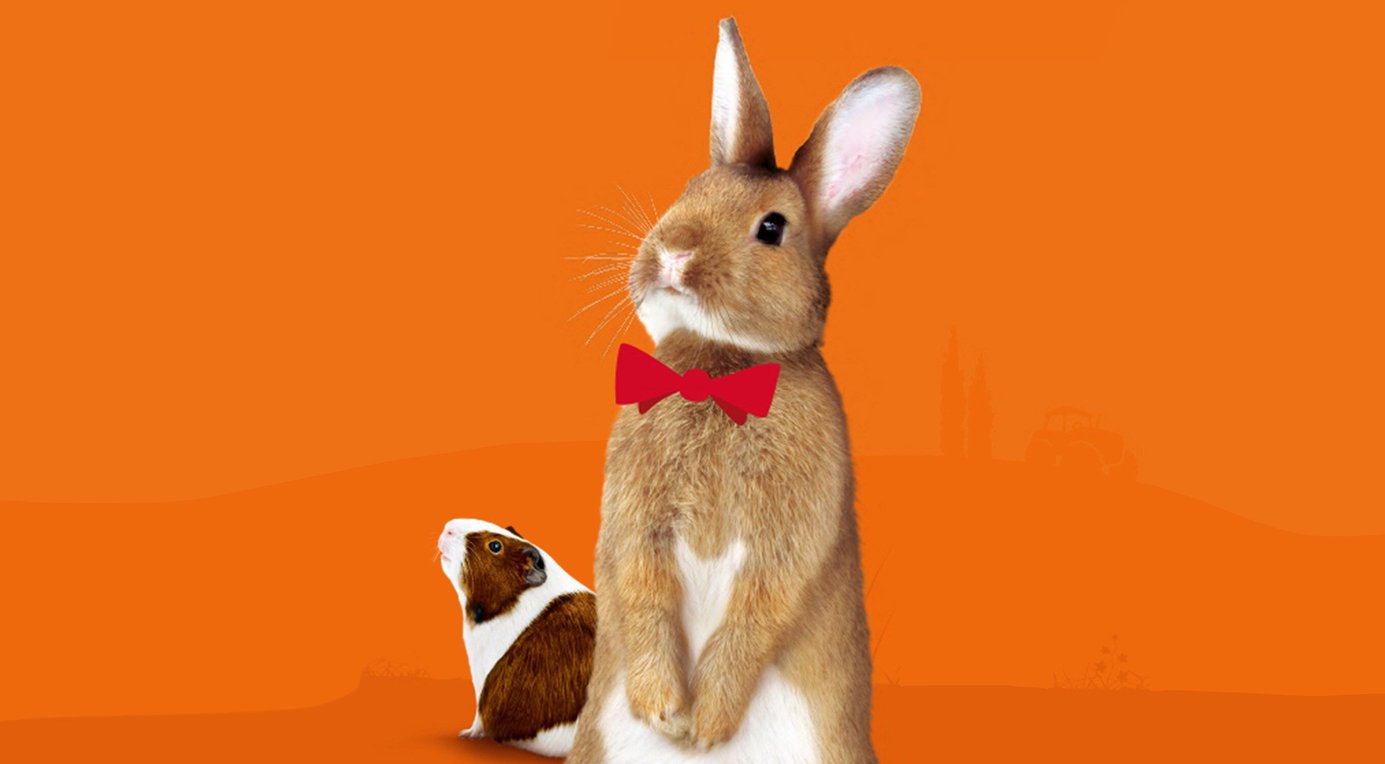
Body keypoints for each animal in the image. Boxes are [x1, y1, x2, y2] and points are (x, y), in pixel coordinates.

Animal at [568, 17, 920, 764]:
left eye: (772, 228)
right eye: (689, 189)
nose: (673, 253)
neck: (719, 369)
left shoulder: (790, 535)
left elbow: (762, 606)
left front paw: (705, 725)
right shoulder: (634, 521)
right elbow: (639, 585)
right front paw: (666, 712)